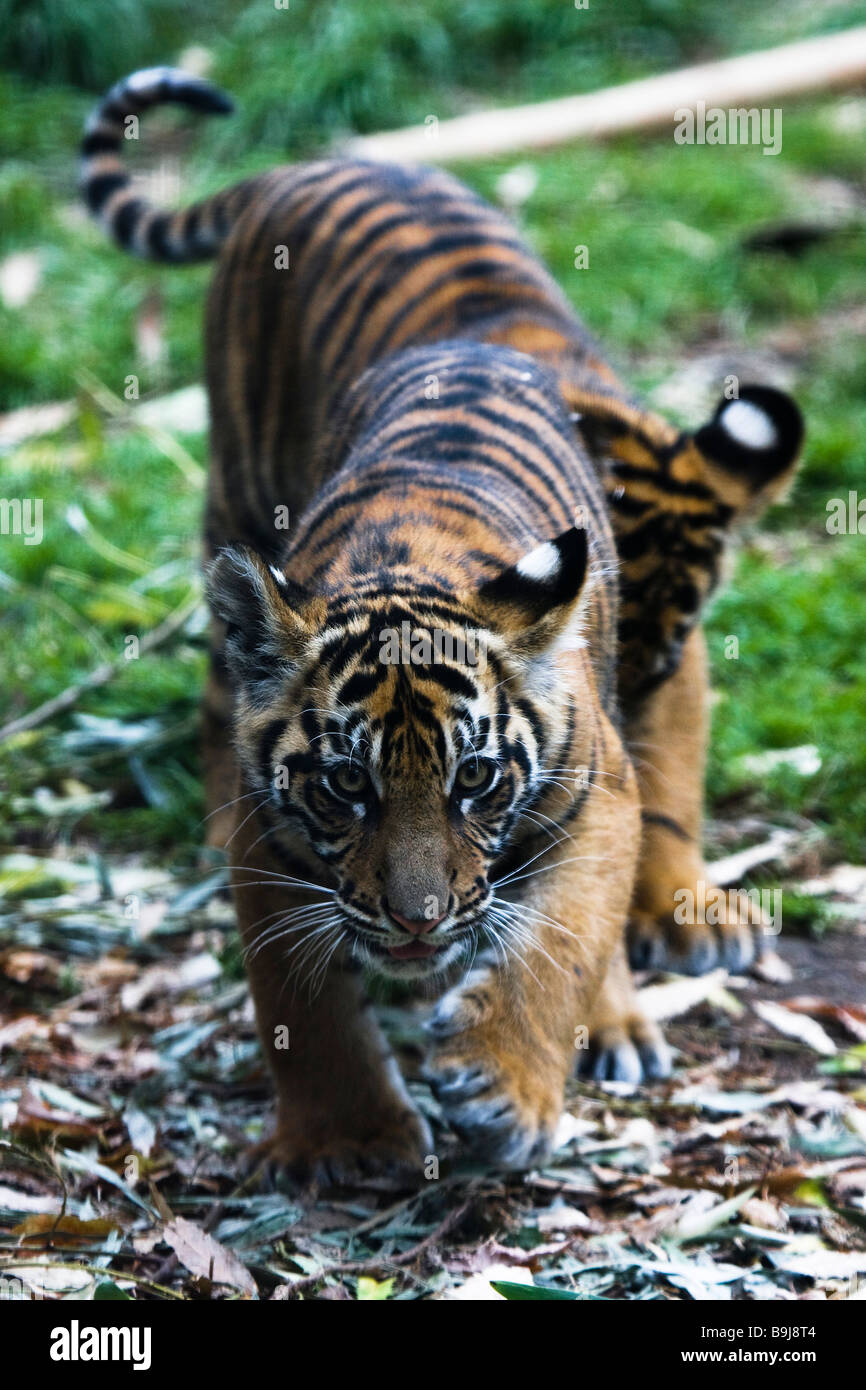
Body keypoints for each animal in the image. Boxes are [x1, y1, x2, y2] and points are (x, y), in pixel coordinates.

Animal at [81, 68, 804, 1183]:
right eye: (346, 786)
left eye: (477, 780)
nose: (417, 925)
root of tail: (305, 164)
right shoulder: (276, 844)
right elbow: (303, 1006)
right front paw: (348, 1136)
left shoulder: (615, 765)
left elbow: (577, 919)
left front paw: (520, 1072)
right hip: (236, 496)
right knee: (213, 690)